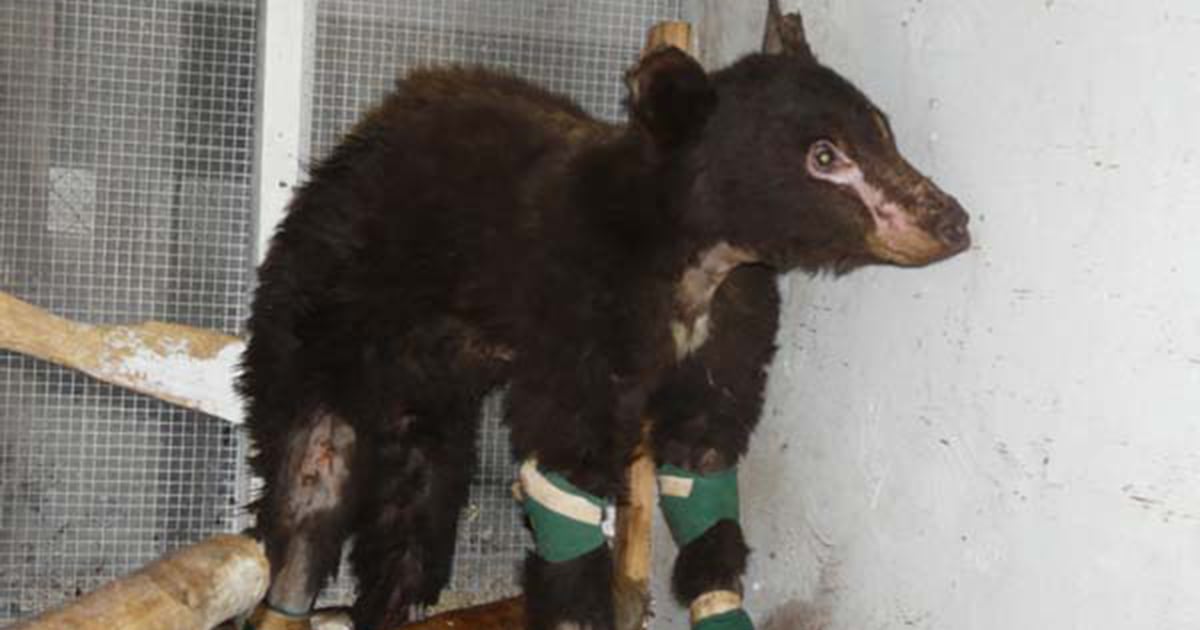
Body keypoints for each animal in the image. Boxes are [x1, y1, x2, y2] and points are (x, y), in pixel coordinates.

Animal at [238, 2, 970, 630]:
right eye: (824, 156)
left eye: (884, 131)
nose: (953, 222)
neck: (694, 263)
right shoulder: (576, 316)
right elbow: (565, 474)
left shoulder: (732, 326)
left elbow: (702, 471)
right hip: (317, 322)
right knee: (311, 485)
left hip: (427, 399)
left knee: (417, 511)